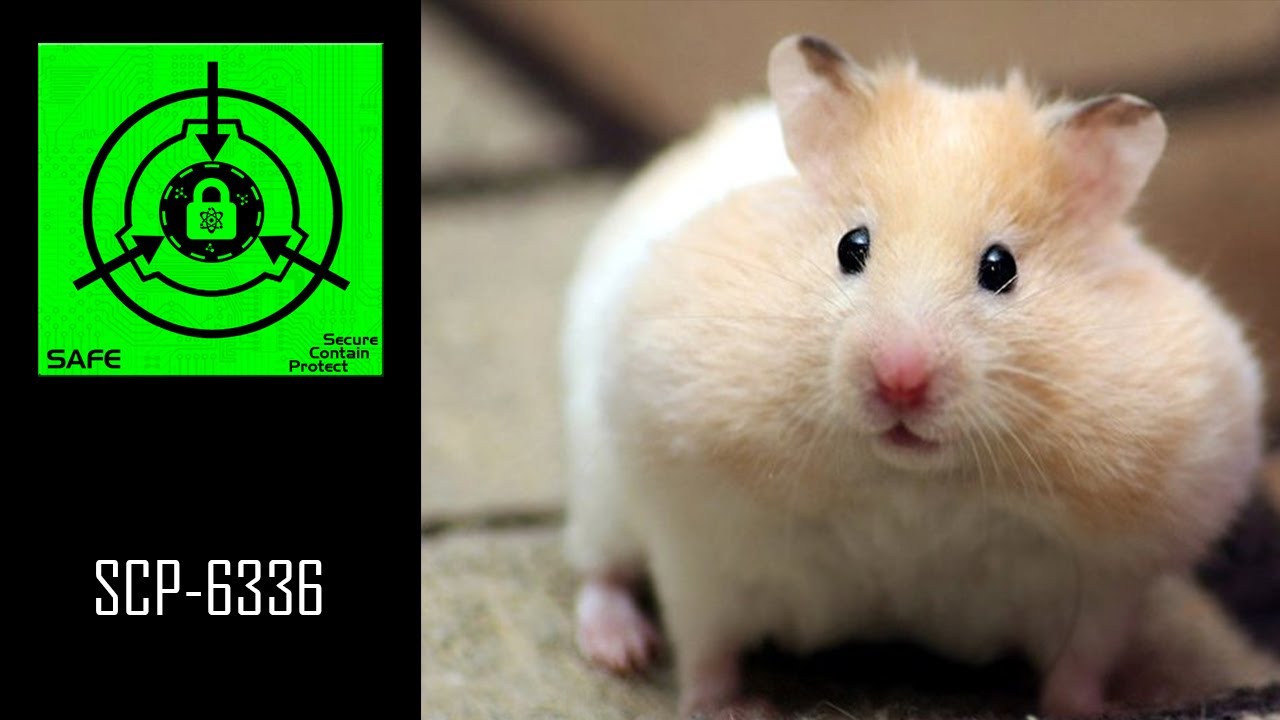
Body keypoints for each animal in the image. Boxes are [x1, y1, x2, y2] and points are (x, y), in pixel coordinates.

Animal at [560, 34, 1268, 718]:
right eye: (851, 246)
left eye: (1000, 267)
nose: (900, 380)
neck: (913, 488)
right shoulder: (699, 537)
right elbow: (704, 643)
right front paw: (733, 708)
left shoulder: (1104, 579)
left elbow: (1079, 671)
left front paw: (1102, 710)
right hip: (599, 486)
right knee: (601, 571)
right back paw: (619, 652)